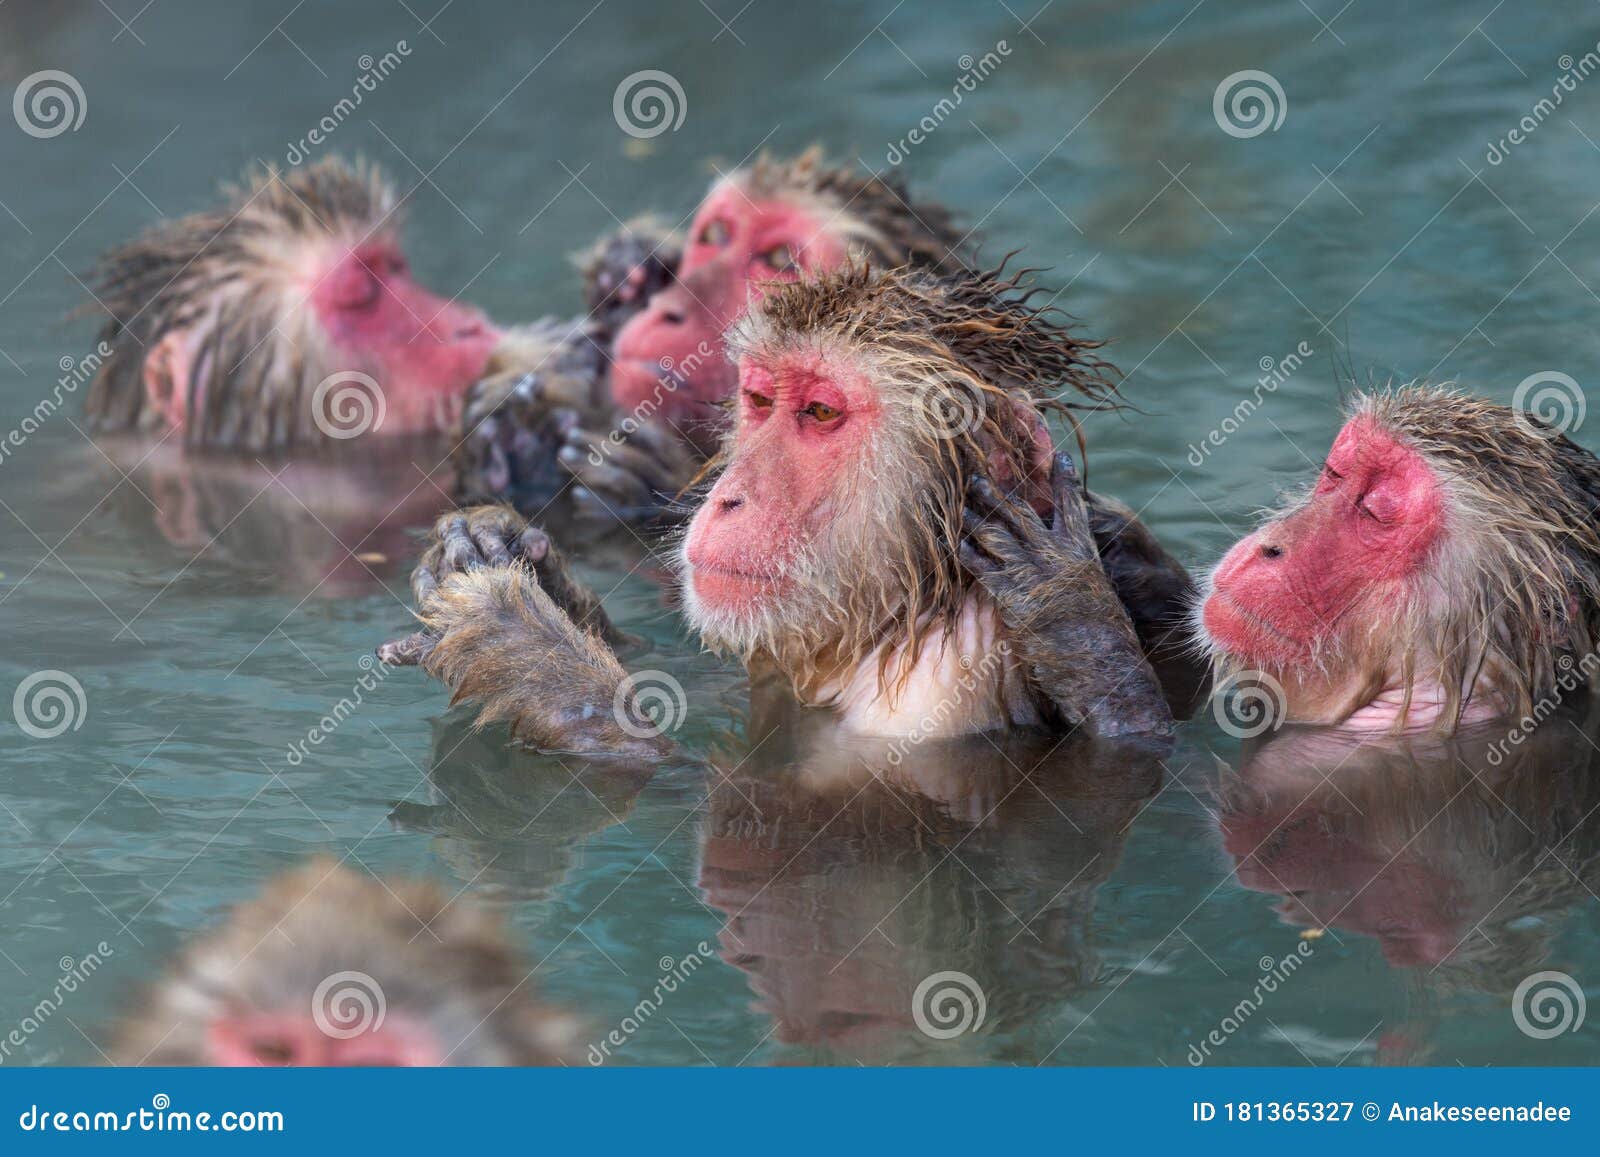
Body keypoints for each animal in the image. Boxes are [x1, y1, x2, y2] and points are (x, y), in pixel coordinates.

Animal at [381, 262, 1187, 750]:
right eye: (761, 400)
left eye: (822, 412)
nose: (731, 496)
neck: (911, 604)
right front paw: (499, 549)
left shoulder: (932, 704)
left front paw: (519, 645)